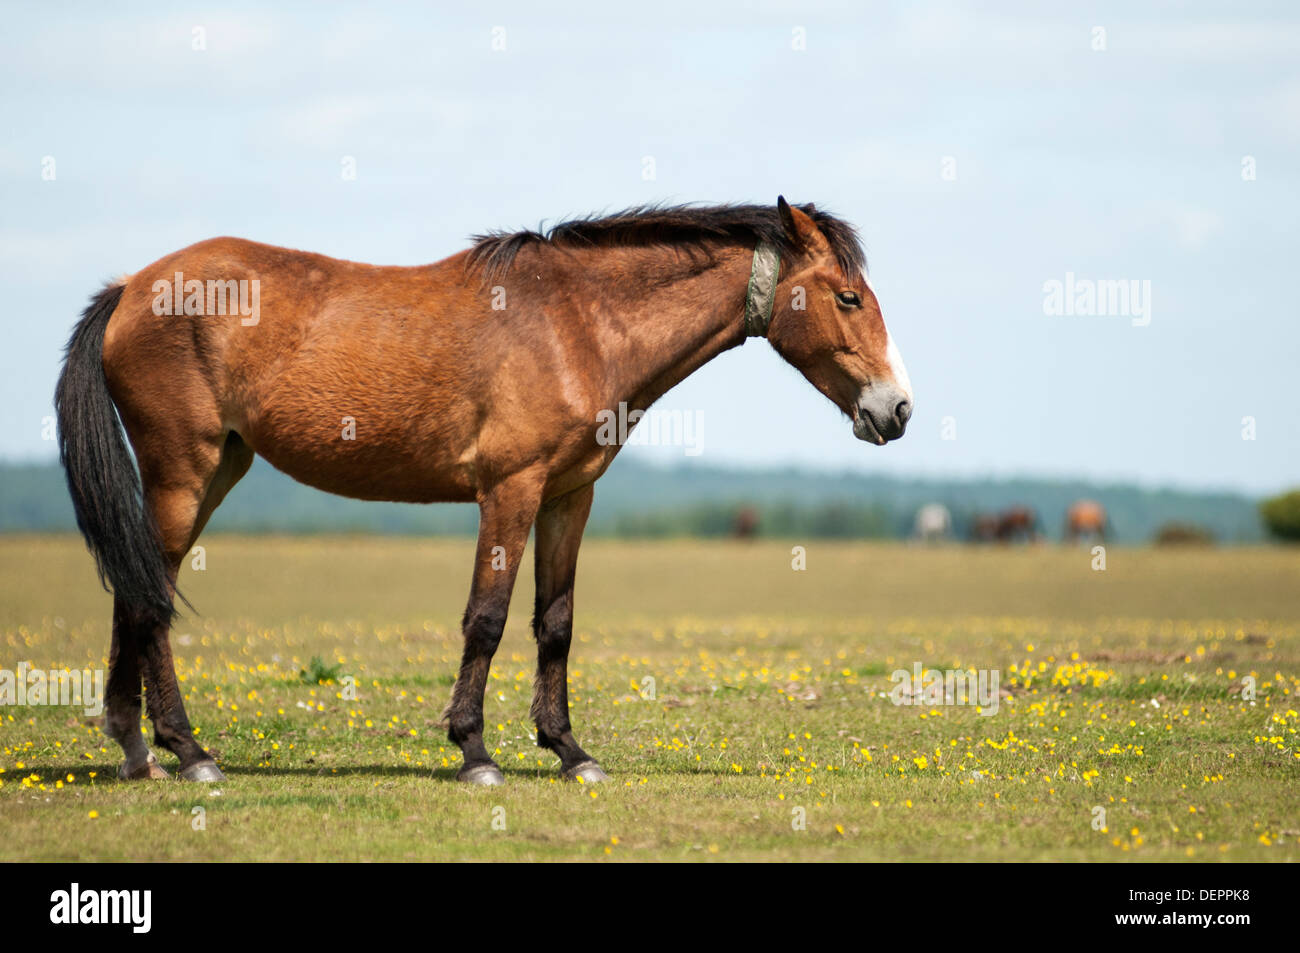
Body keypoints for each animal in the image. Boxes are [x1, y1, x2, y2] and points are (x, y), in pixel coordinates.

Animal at [55, 198, 914, 786]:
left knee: (138, 590)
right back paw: (187, 749)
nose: (897, 408)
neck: (577, 323)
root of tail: (130, 288)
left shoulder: (569, 496)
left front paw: (569, 750)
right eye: (847, 297)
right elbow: (488, 619)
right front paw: (474, 751)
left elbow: (555, 624)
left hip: (216, 470)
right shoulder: (511, 490)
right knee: (148, 601)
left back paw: (137, 748)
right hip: (182, 471)